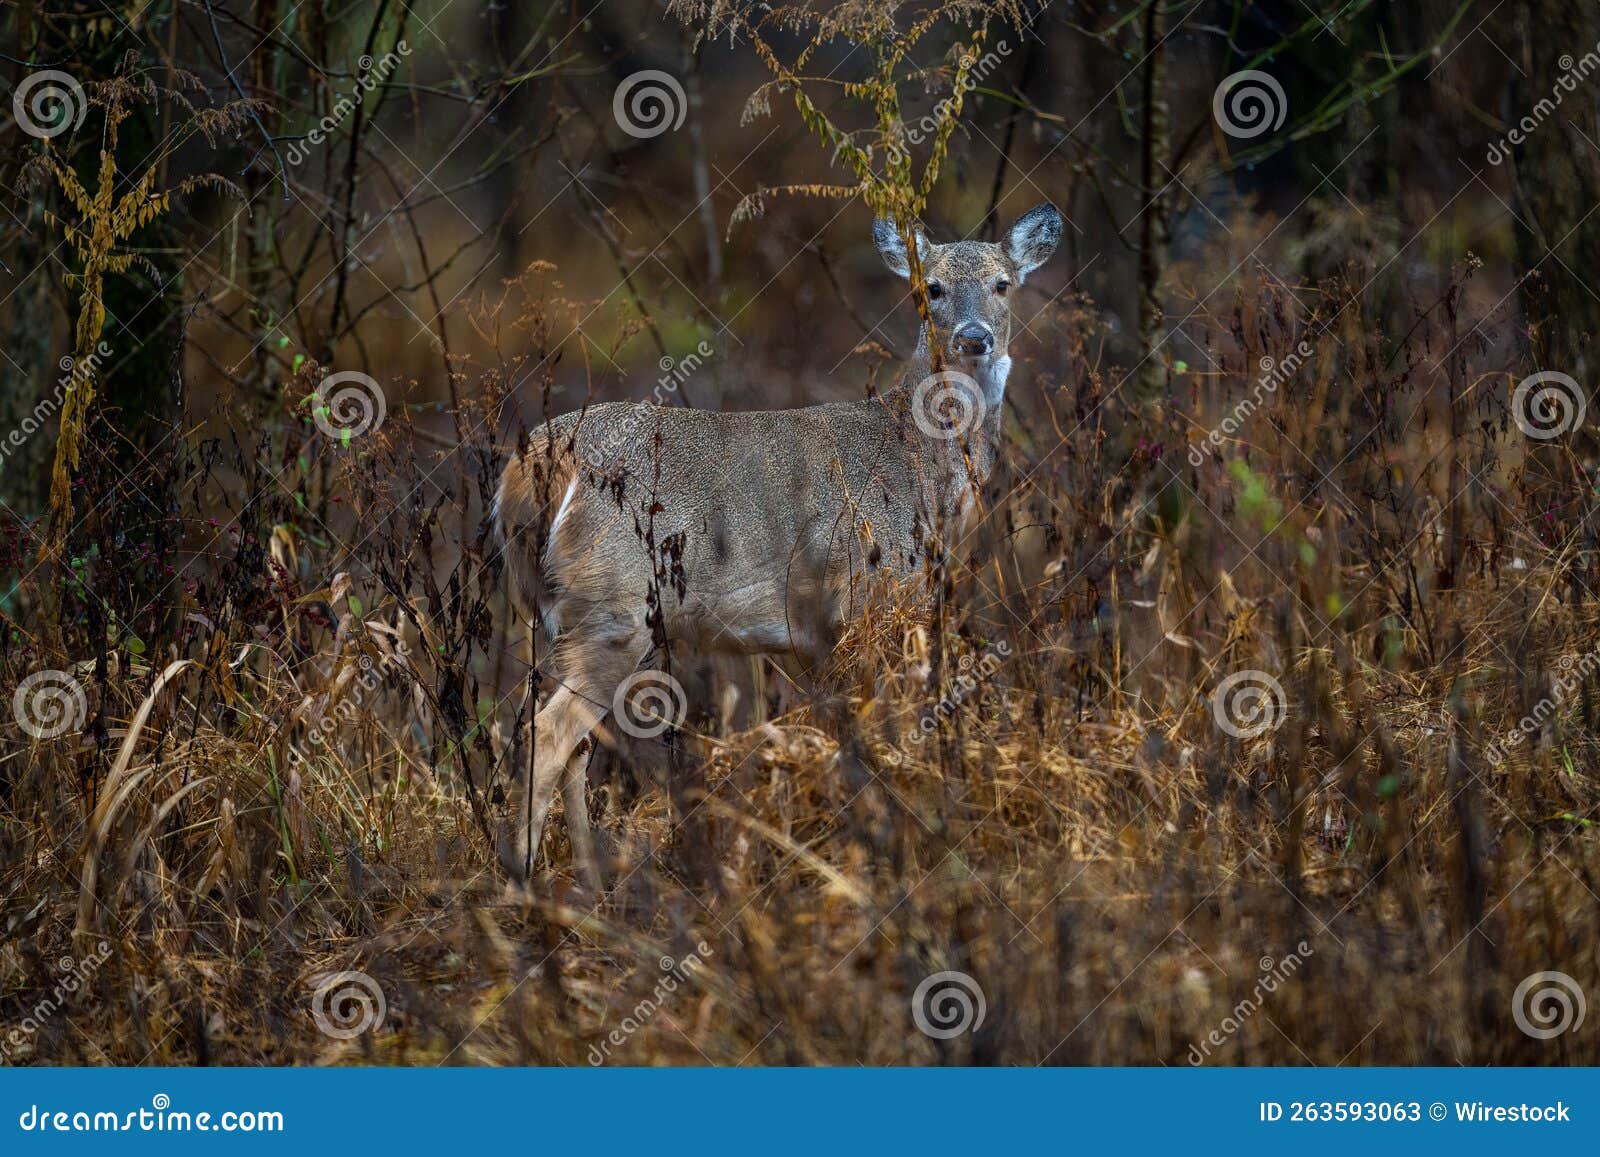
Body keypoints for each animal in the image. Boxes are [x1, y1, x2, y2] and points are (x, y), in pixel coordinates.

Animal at [493, 203, 1062, 889]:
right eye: (932, 289)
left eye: (1004, 284)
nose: (974, 339)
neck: (918, 462)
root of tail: (533, 463)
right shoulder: (862, 602)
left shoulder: (806, 639)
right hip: (613, 606)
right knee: (547, 736)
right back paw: (525, 889)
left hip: (556, 615)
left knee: (573, 746)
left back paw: (592, 886)